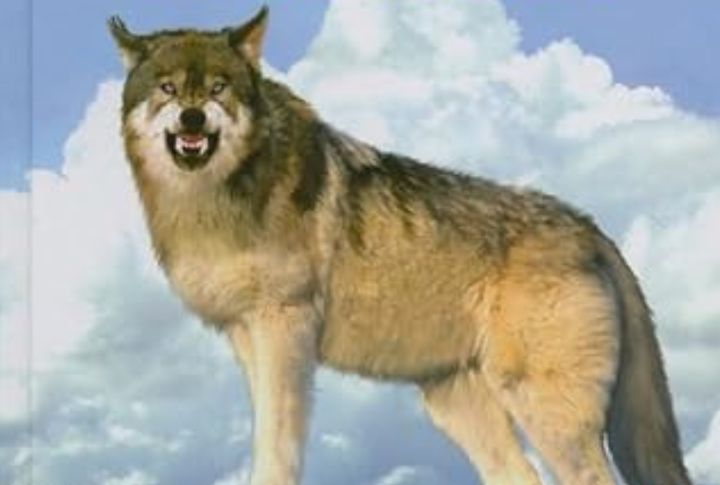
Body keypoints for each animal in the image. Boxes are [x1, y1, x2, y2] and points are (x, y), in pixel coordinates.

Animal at [109, 7, 692, 485]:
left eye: (217, 88)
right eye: (167, 89)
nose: (191, 118)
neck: (214, 198)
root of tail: (591, 228)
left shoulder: (284, 328)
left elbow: (276, 443)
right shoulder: (245, 335)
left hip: (545, 411)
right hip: (459, 408)